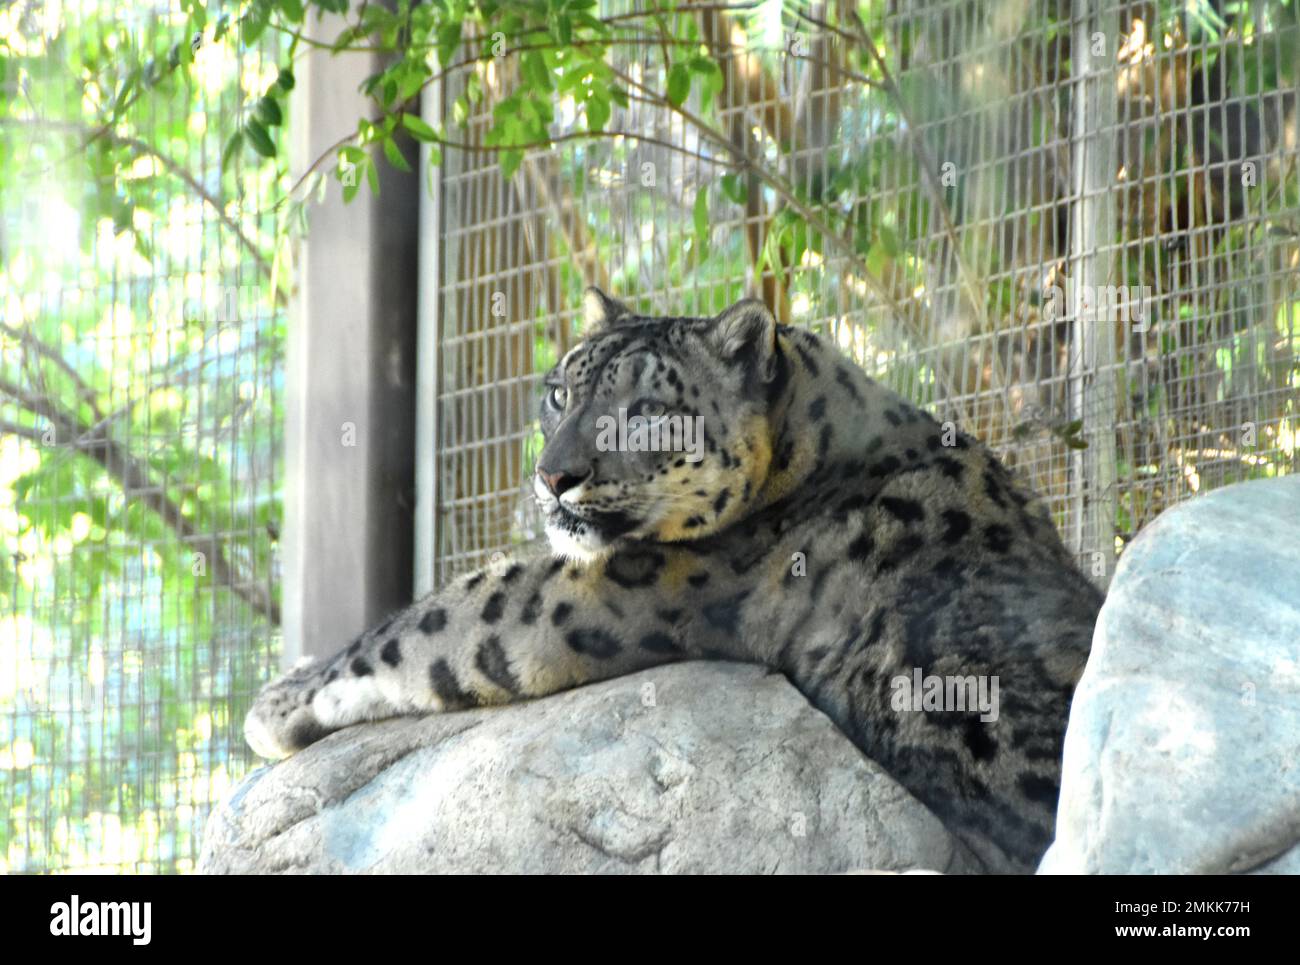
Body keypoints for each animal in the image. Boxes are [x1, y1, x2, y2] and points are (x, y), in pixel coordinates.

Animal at [245, 288, 1103, 873]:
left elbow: (436, 617)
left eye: (647, 408)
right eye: (559, 392)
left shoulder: (586, 588)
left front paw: (277, 702)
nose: (554, 475)